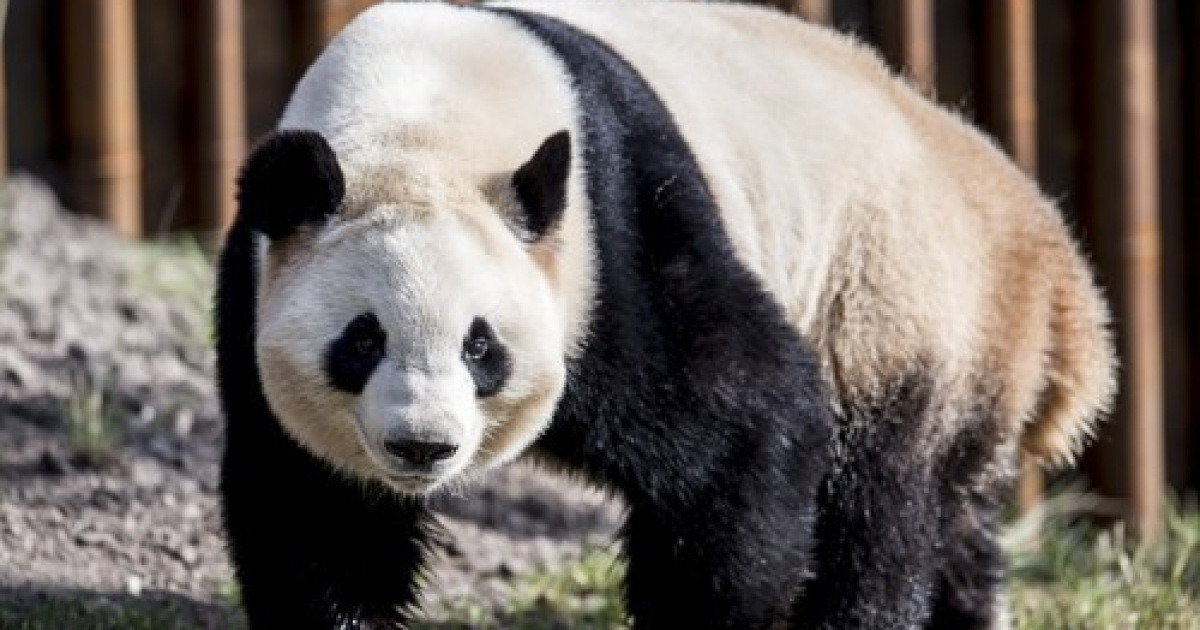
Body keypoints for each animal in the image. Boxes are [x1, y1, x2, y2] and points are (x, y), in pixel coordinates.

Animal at [215, 2, 1116, 629]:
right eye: (362, 340)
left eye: (482, 348)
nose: (423, 447)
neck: (424, 113)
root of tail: (1043, 246)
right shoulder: (260, 273)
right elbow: (315, 501)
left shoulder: (619, 241)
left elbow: (748, 421)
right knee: (955, 514)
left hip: (891, 304)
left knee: (887, 502)